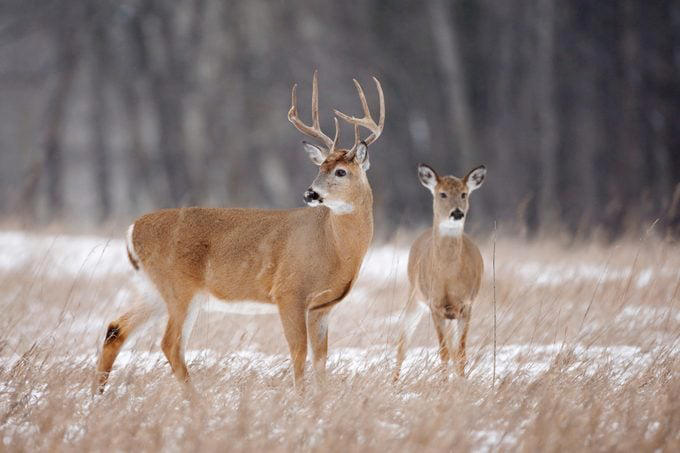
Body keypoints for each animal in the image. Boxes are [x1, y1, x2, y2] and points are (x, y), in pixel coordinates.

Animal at [95, 71, 385, 393]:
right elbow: (298, 354)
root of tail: (132, 230)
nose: (310, 193)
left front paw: (321, 399)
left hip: (153, 288)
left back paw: (98, 395)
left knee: (116, 328)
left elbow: (321, 360)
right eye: (320, 167)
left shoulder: (323, 307)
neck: (334, 248)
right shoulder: (289, 292)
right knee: (170, 344)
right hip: (179, 287)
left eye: (340, 171)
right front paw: (300, 398)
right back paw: (197, 401)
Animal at [393, 163, 486, 381]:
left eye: (463, 194)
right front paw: (444, 383)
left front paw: (460, 383)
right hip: (414, 296)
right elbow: (443, 352)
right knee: (402, 343)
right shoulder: (434, 305)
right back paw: (393, 381)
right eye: (442, 194)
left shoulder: (466, 305)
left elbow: (460, 353)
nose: (457, 213)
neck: (448, 277)